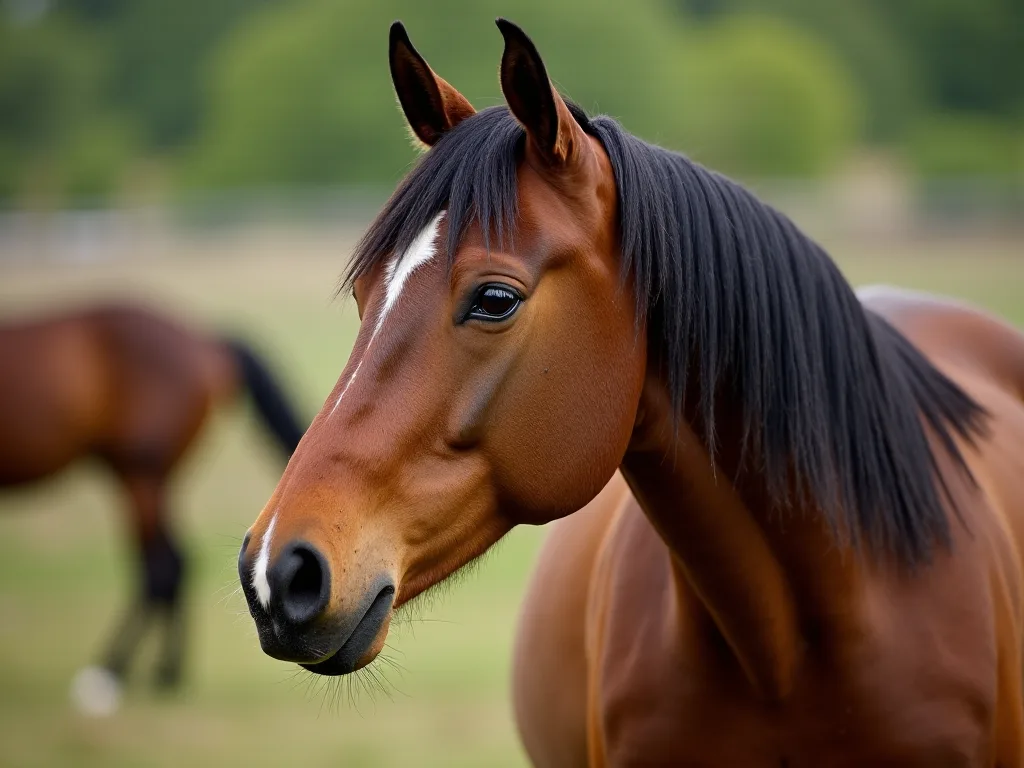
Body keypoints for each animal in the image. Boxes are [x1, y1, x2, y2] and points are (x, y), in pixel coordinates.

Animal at [0, 301, 305, 714]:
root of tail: (204, 339)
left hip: (140, 472)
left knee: (161, 565)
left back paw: (112, 673)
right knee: (172, 562)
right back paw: (165, 673)